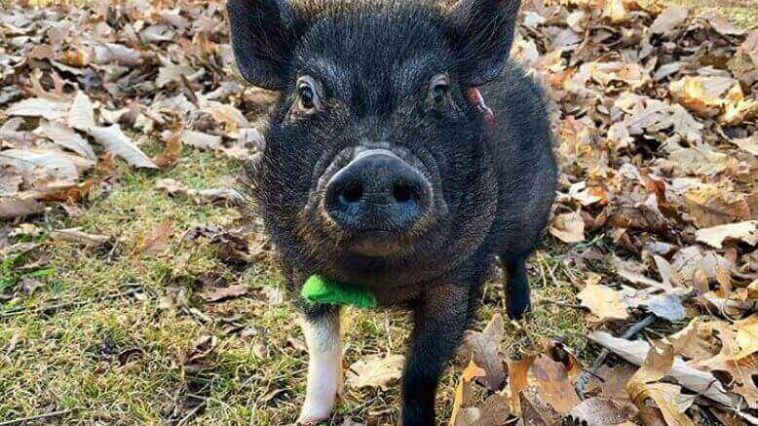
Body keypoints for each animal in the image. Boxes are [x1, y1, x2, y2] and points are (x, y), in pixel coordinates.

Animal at [227, 0, 557, 424]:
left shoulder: (455, 280)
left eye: (439, 91)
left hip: (536, 206)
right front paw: (308, 418)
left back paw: (519, 315)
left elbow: (420, 371)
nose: (376, 165)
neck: (378, 281)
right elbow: (321, 344)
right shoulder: (299, 267)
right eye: (305, 94)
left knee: (516, 258)